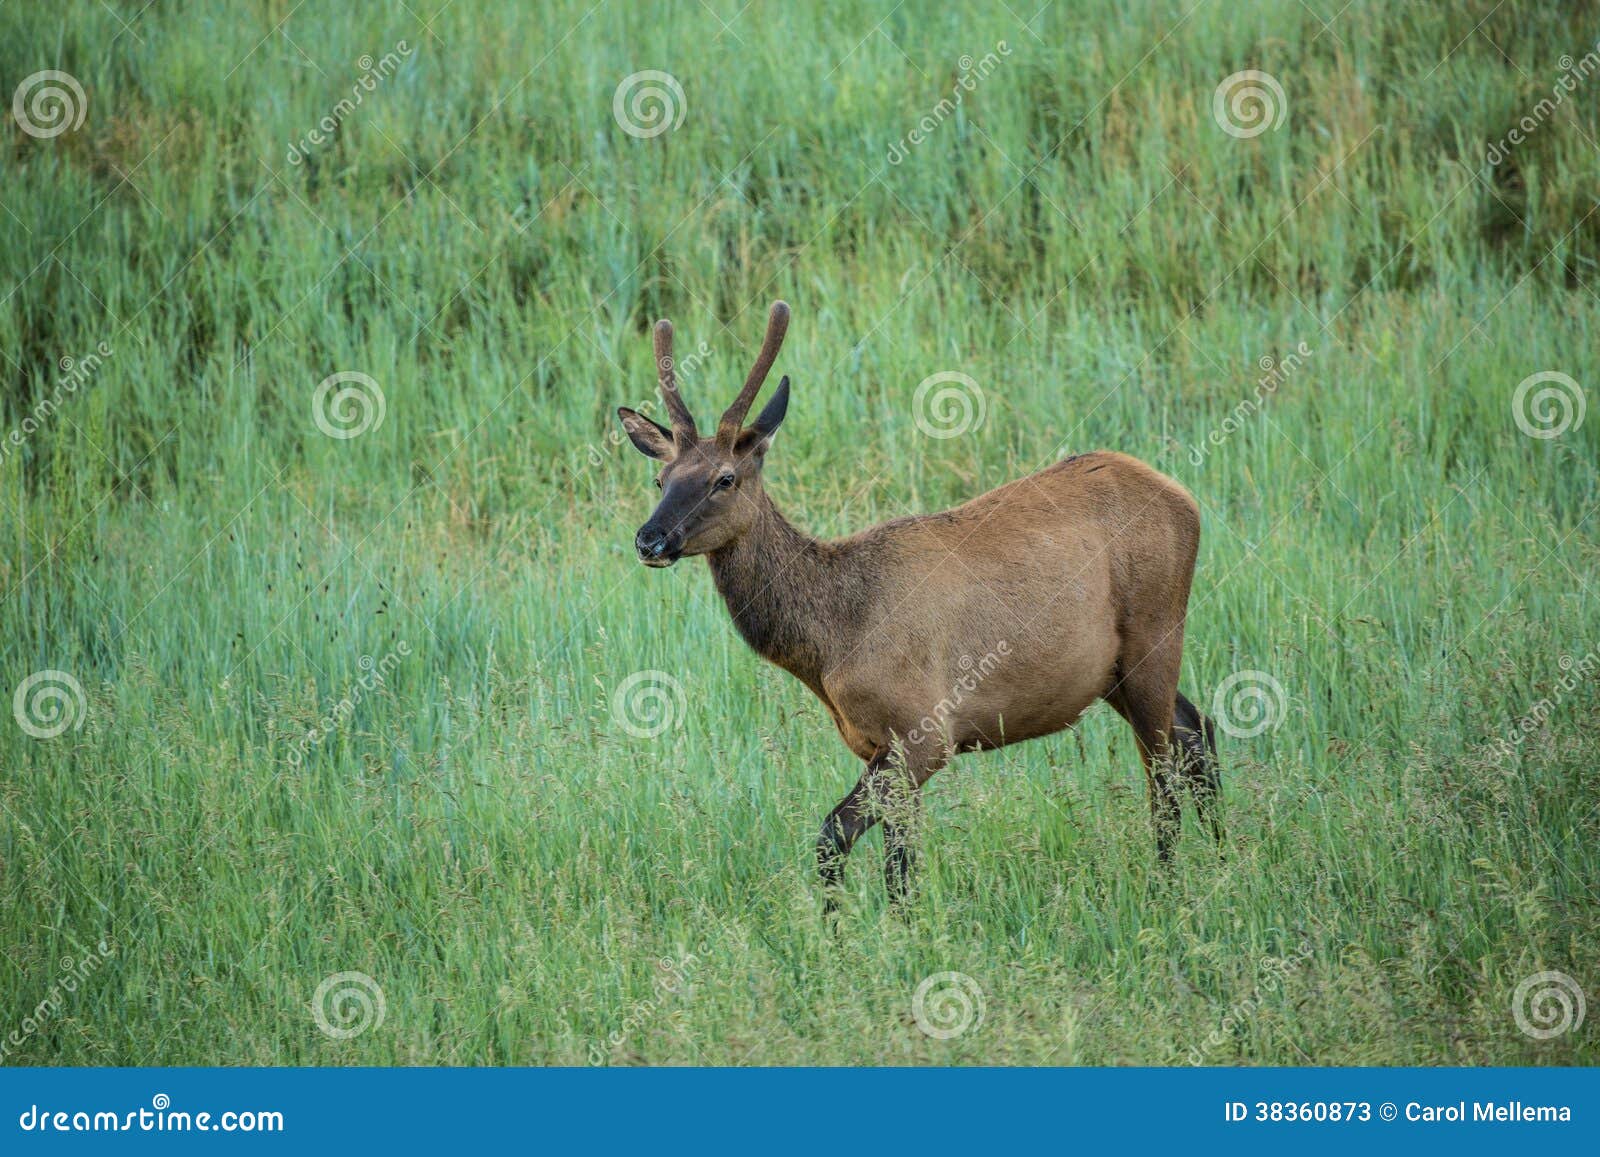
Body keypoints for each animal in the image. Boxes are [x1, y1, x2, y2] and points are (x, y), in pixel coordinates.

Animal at [618, 300, 1223, 906]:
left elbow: (840, 841)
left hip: (1155, 629)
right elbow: (895, 862)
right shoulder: (877, 745)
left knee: (1163, 767)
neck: (831, 642)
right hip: (1112, 670)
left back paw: (1168, 883)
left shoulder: (924, 730)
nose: (649, 540)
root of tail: (1185, 498)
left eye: (724, 478)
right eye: (660, 478)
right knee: (1198, 728)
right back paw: (1222, 854)